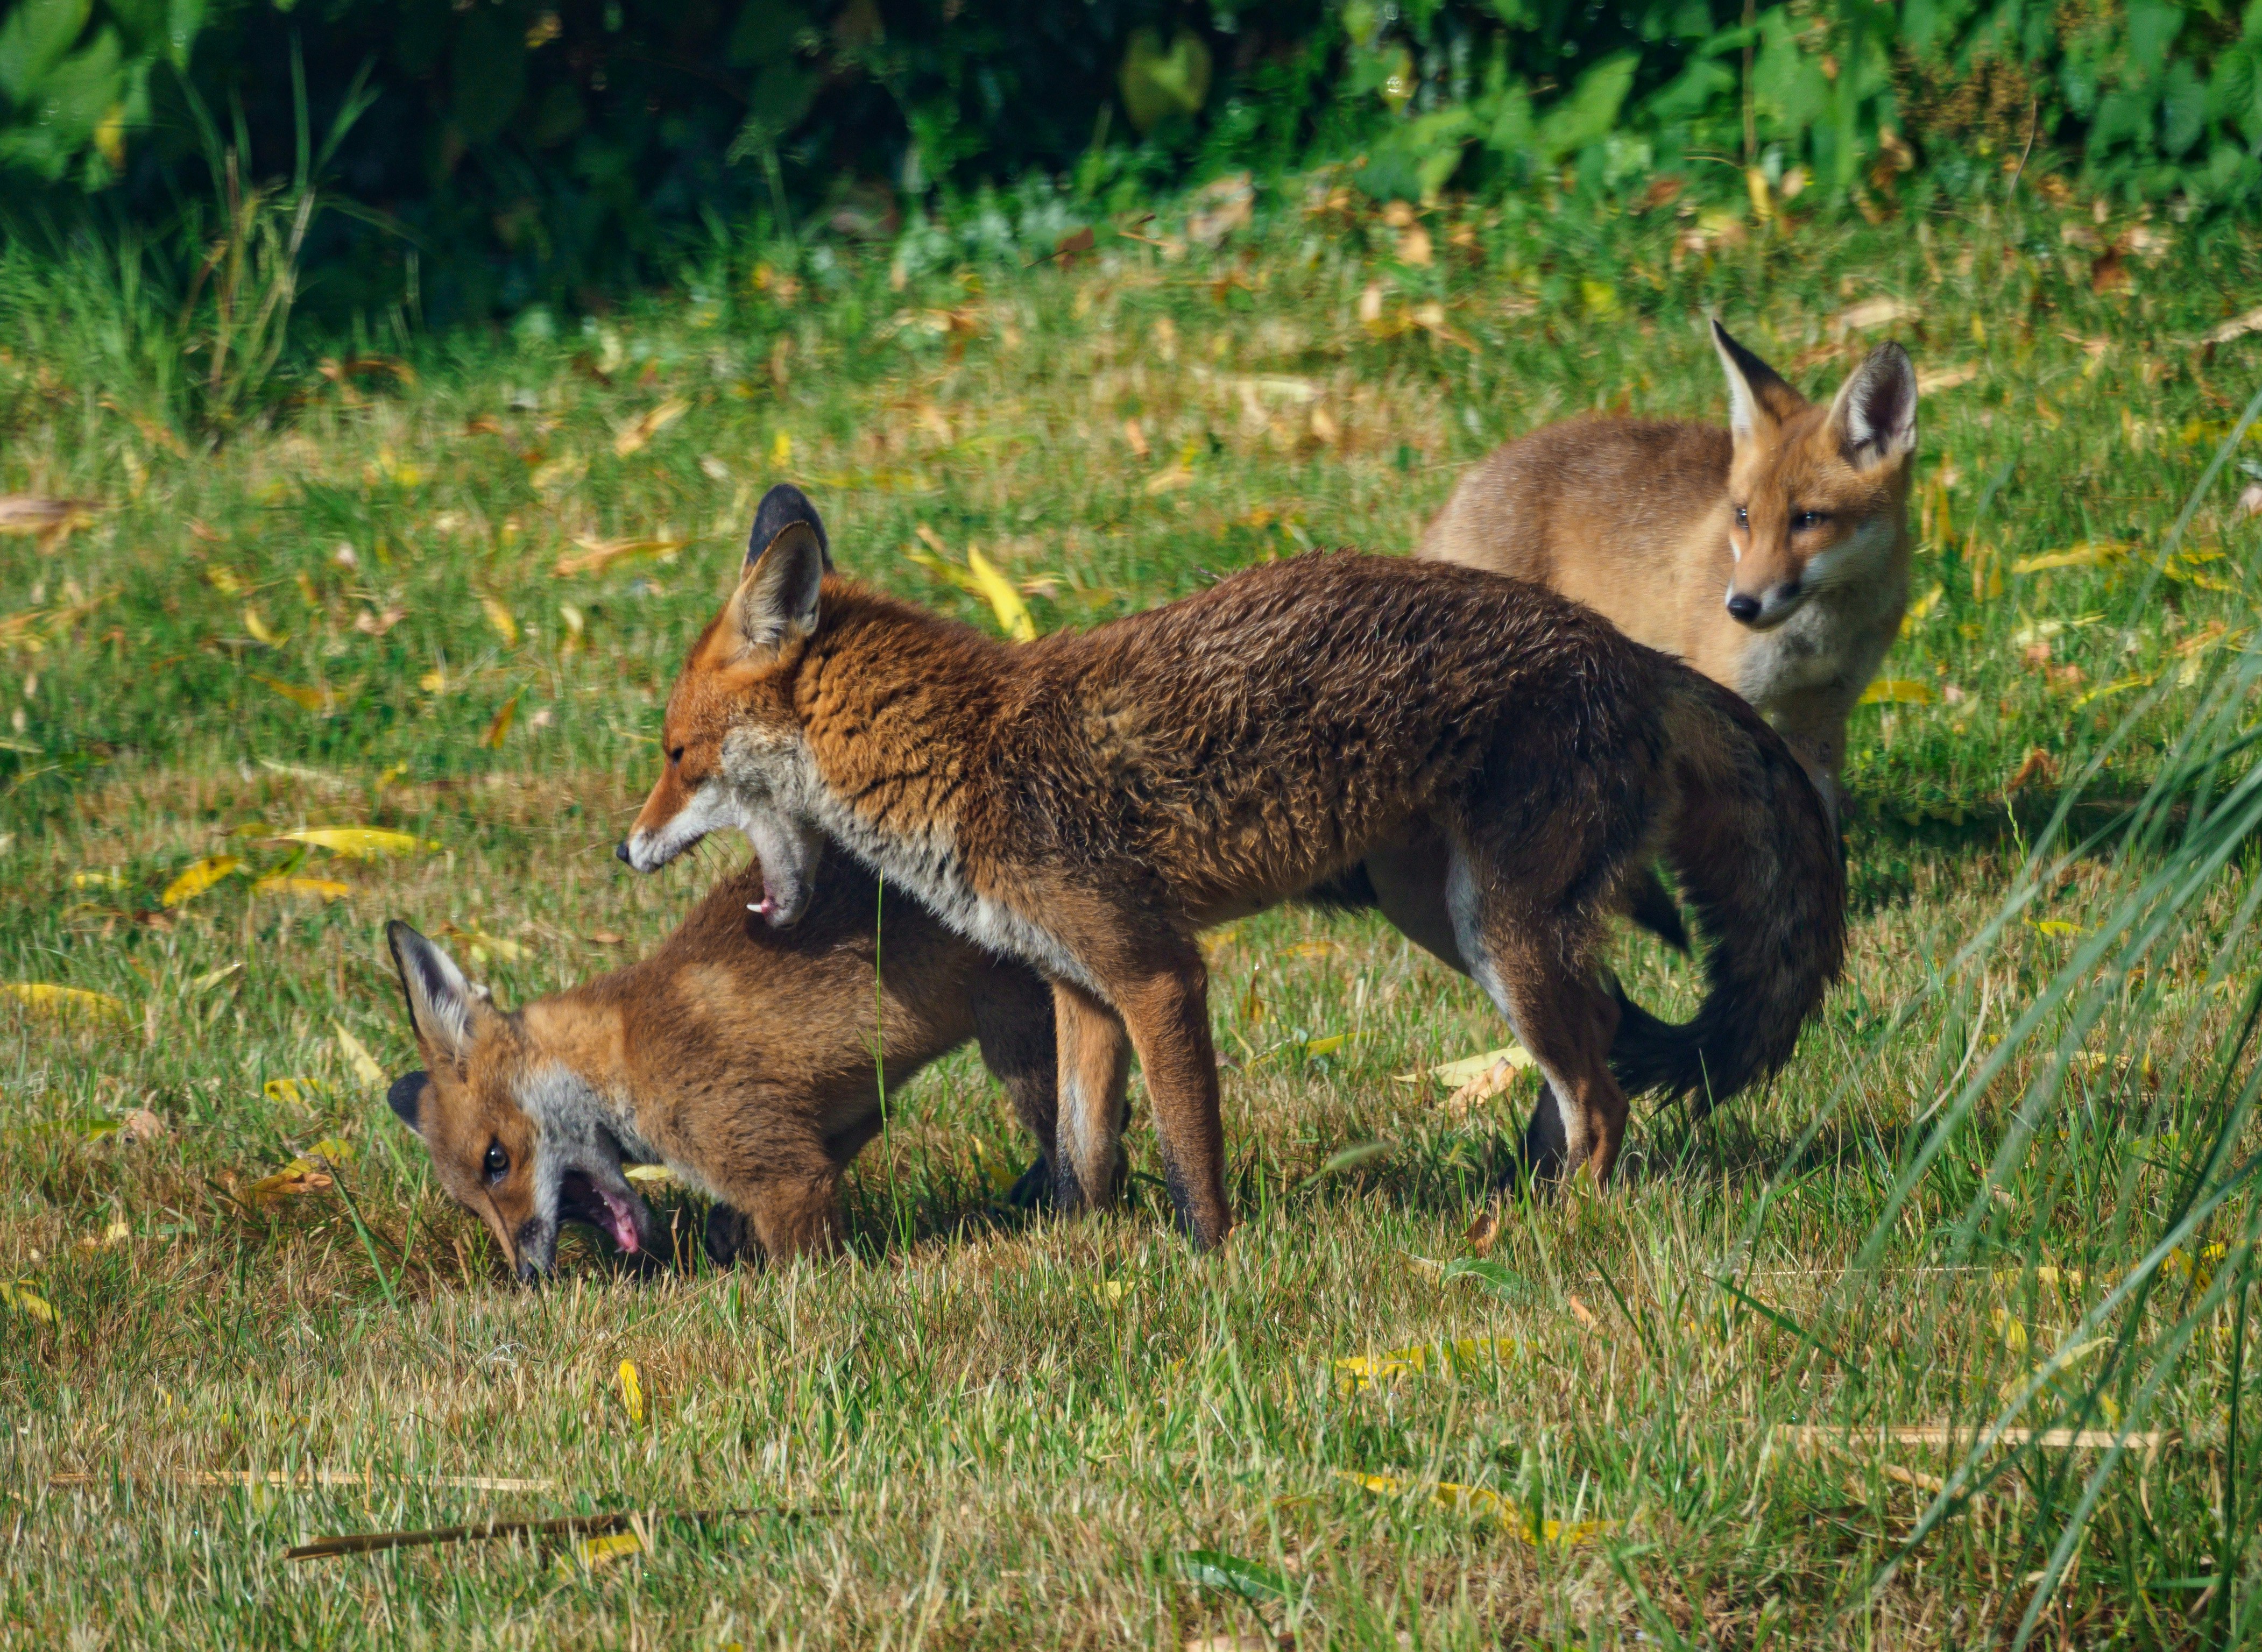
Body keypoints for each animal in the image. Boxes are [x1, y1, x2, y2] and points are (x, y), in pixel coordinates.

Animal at [382, 856, 1060, 1280]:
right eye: (471, 1205)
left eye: (496, 1160)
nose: (526, 1276)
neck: (621, 1052)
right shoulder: (850, 1112)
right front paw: (726, 1237)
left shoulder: (782, 1169)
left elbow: (808, 1269)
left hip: (1019, 1047)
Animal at [618, 485, 1844, 1251]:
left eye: (675, 755)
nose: (622, 849)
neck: (967, 758)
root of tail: (1631, 653)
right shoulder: (1078, 987)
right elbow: (1083, 1156)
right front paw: (1081, 1255)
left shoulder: (1157, 973)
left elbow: (1185, 1152)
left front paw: (1209, 1263)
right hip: (1449, 919)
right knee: (1594, 1044)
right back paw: (1516, 1188)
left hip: (1497, 929)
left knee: (1600, 1095)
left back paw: (1551, 1225)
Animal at [1419, 319, 1919, 821]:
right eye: (1743, 516)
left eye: (1810, 520)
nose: (1740, 607)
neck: (1818, 642)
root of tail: (1464, 486)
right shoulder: (1726, 700)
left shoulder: (1821, 720)